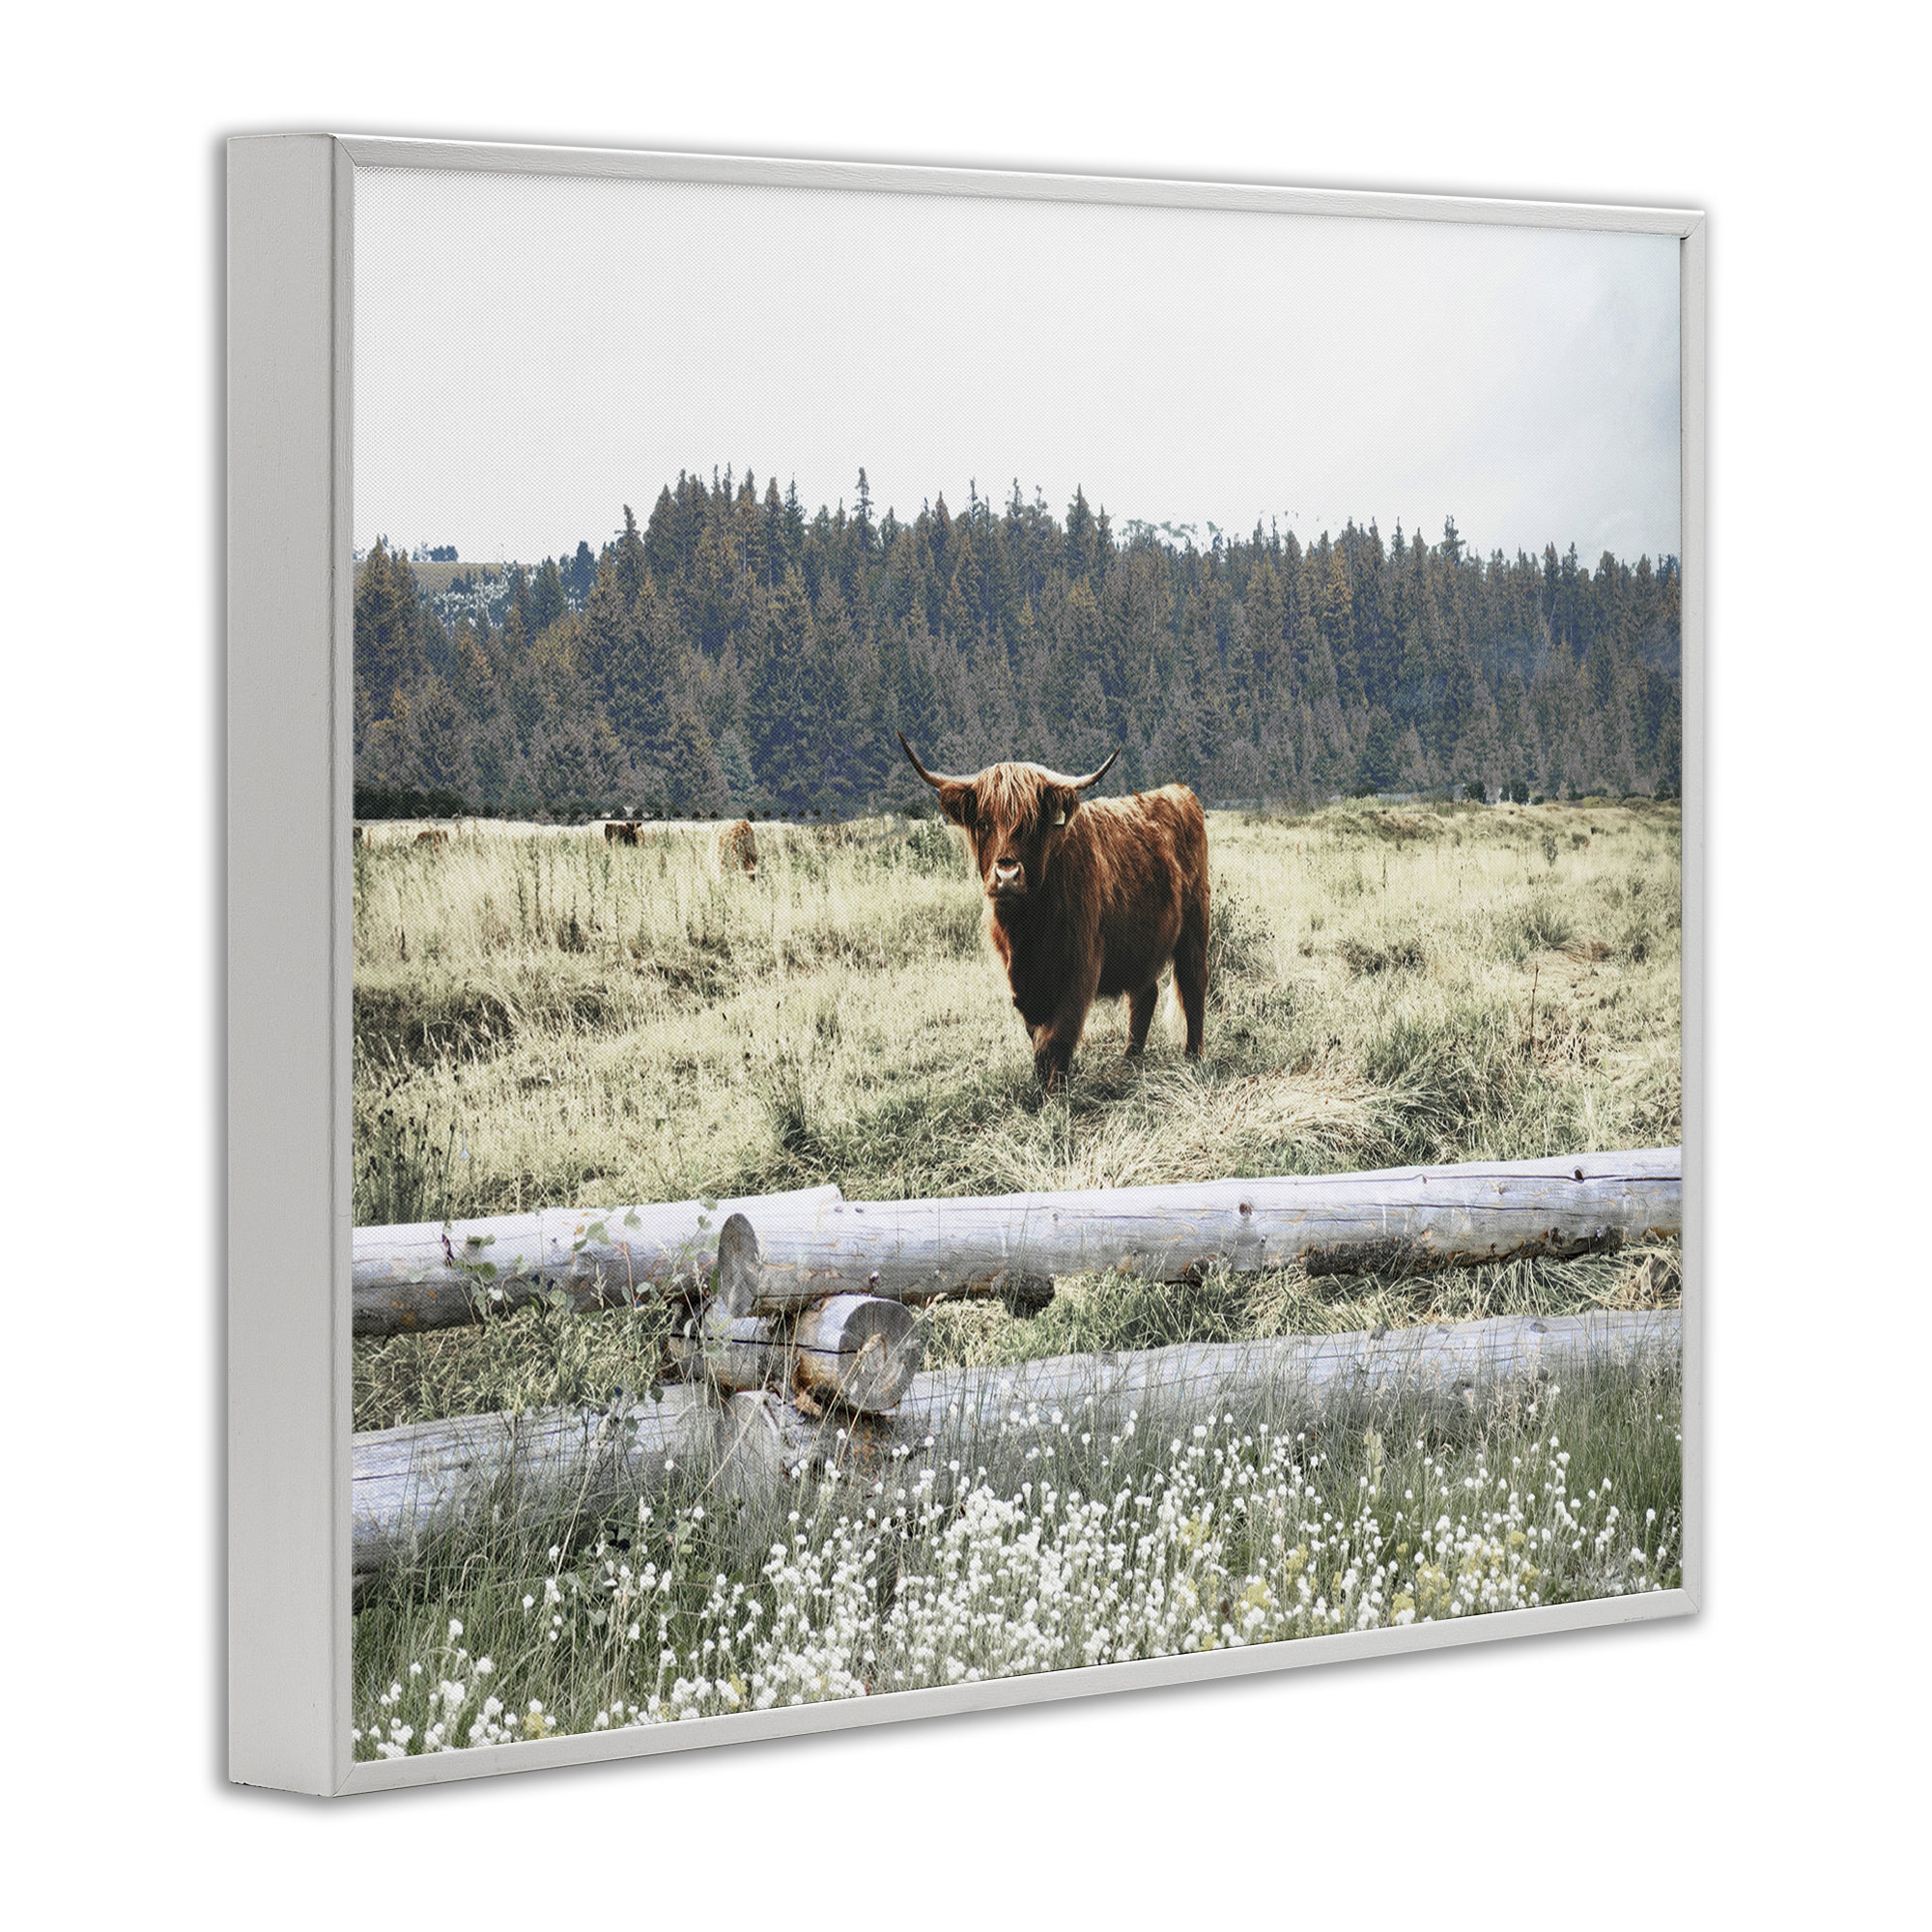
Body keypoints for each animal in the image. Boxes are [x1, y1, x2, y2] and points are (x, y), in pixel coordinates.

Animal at [899, 733, 1209, 1091]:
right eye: (983, 822)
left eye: (1033, 823)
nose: (1007, 875)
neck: (1027, 929)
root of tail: (1179, 792)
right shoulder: (1021, 980)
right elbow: (1036, 1036)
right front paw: (1039, 1082)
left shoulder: (1080, 967)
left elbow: (1058, 1036)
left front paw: (1054, 1093)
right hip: (1140, 943)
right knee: (1145, 993)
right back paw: (1130, 1059)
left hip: (1195, 925)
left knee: (1194, 983)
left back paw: (1193, 1056)